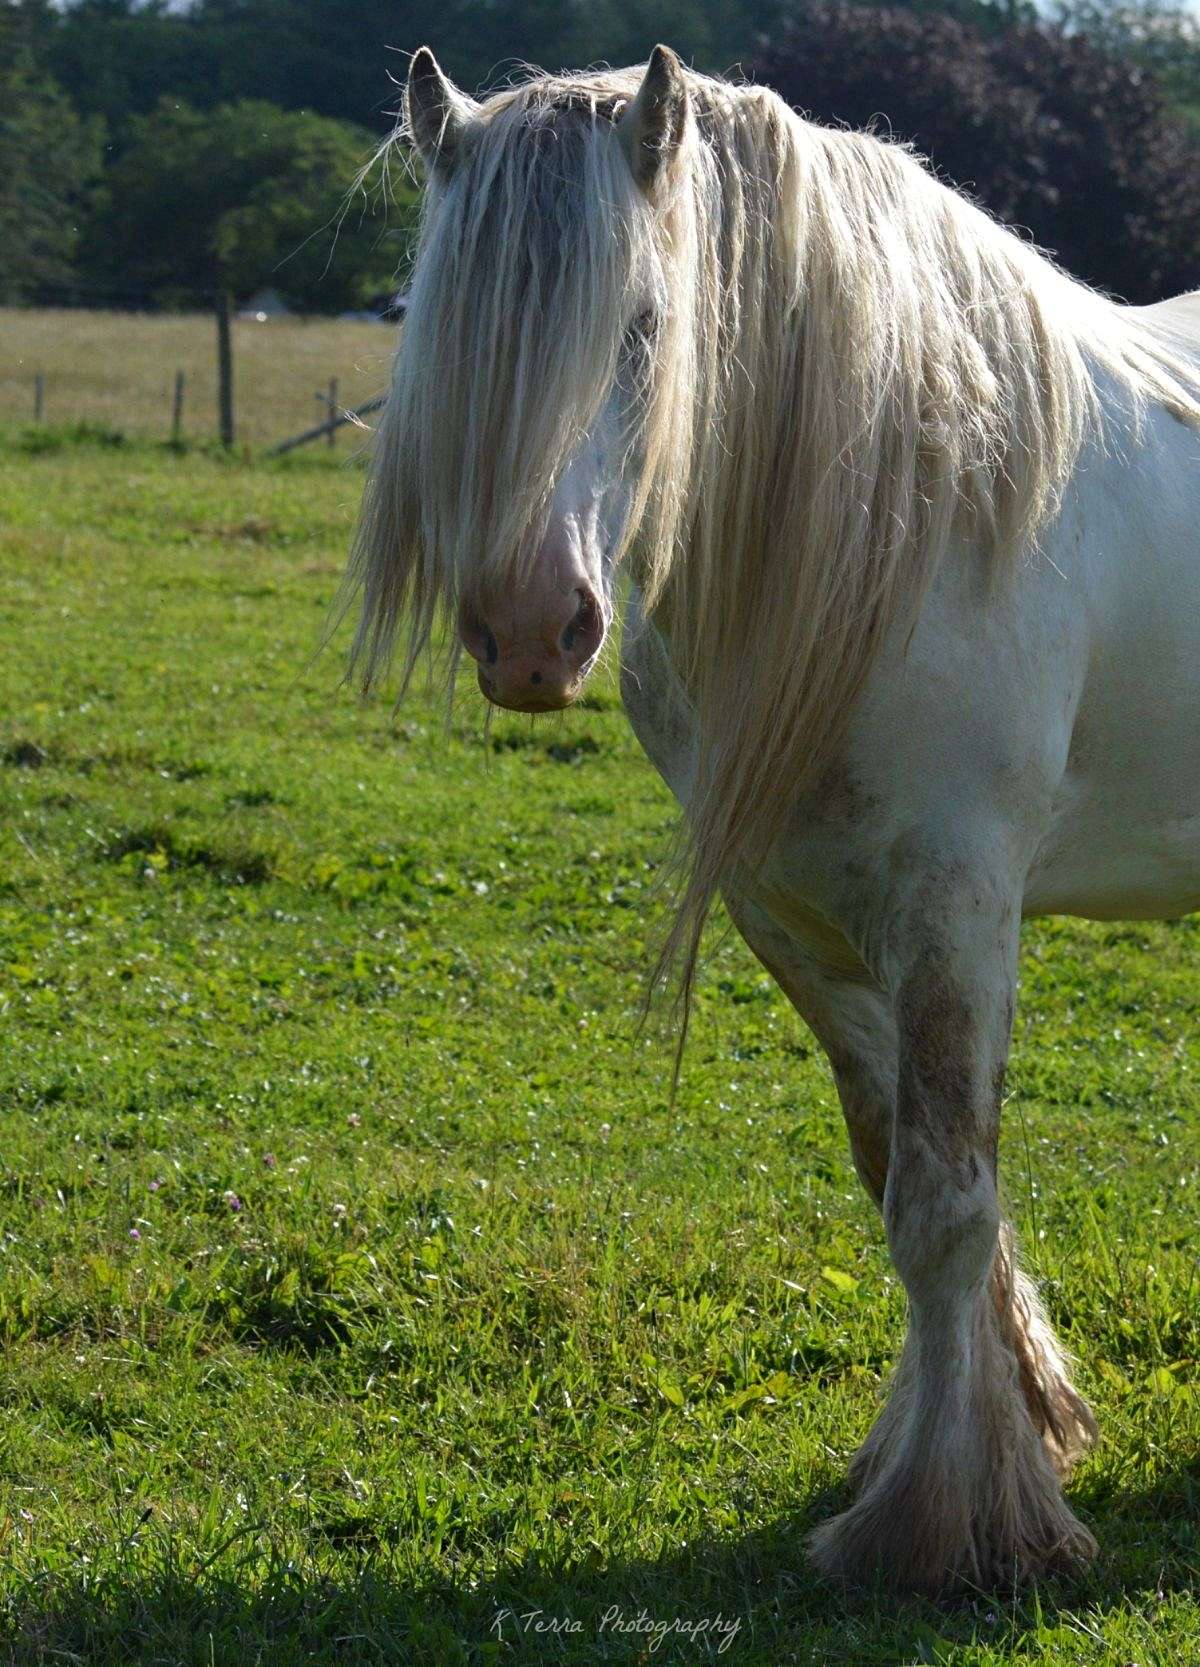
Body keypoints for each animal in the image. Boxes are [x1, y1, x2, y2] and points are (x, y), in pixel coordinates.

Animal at [344, 45, 1200, 1592]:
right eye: (441, 327)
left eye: (646, 326)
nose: (530, 633)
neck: (903, 510)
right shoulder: (789, 907)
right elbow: (895, 1174)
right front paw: (975, 1441)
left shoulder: (956, 901)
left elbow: (945, 1200)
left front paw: (947, 1526)